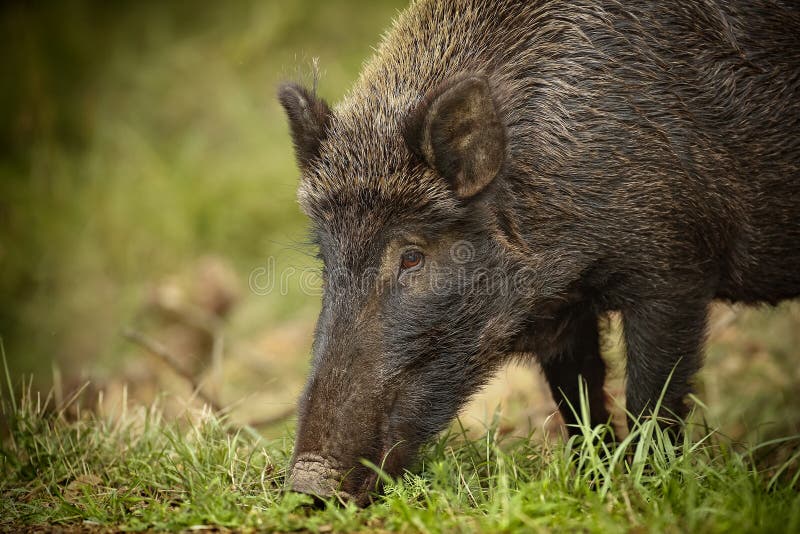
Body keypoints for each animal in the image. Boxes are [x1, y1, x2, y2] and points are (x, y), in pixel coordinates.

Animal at [277, 0, 800, 505]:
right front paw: (593, 482)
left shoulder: (676, 272)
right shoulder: (563, 315)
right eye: (326, 258)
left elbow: (653, 399)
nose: (306, 483)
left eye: (411, 256)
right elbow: (578, 401)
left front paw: (642, 489)